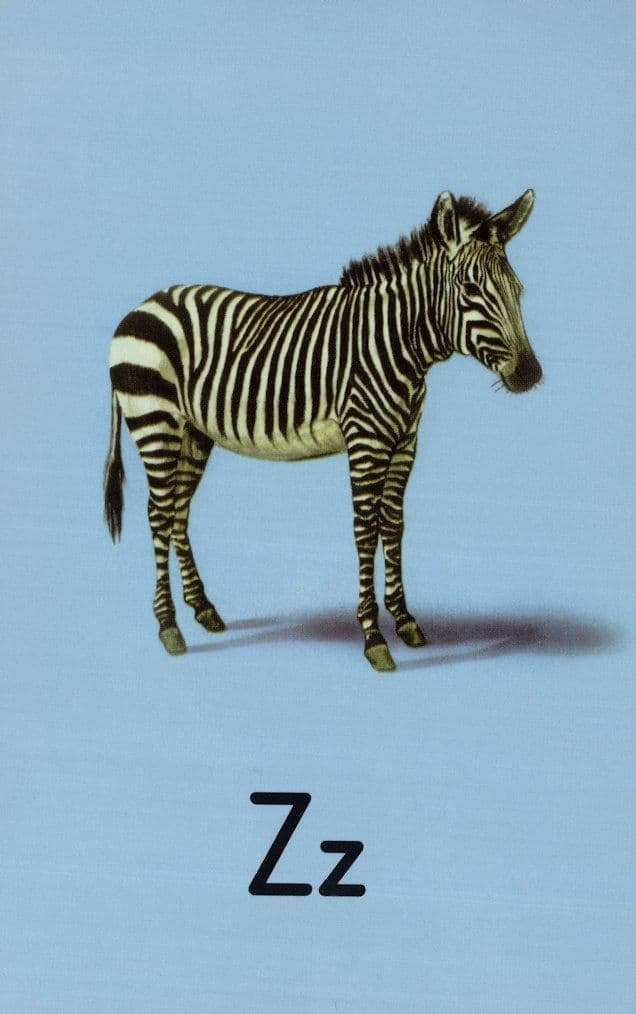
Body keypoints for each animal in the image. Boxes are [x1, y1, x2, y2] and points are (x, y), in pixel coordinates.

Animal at [104, 189, 542, 673]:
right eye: (470, 290)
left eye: (518, 290)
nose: (530, 375)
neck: (399, 345)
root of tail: (141, 306)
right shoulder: (366, 440)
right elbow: (366, 528)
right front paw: (373, 636)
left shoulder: (405, 443)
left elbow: (394, 524)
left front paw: (405, 620)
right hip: (154, 420)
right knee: (158, 514)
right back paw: (169, 627)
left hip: (192, 432)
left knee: (178, 513)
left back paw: (203, 609)